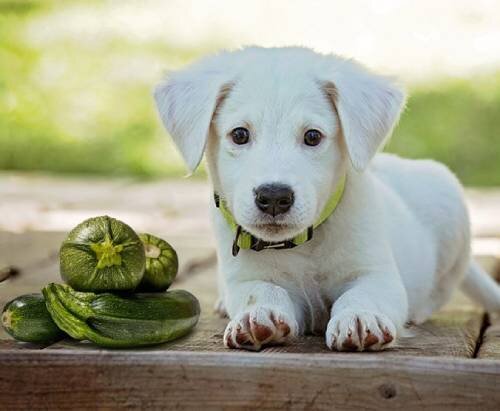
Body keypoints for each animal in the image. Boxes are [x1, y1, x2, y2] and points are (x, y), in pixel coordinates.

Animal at [154, 47, 498, 350]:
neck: (304, 244)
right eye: (239, 134)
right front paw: (258, 314)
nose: (274, 197)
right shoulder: (245, 278)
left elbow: (361, 294)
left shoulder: (376, 274)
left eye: (312, 136)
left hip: (449, 204)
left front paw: (360, 318)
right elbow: (261, 290)